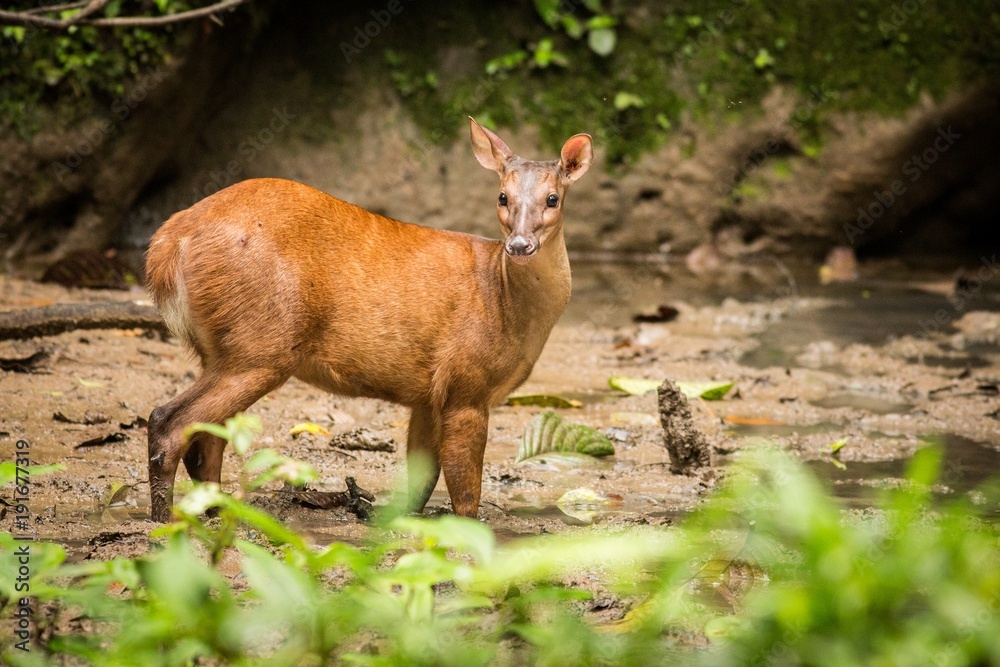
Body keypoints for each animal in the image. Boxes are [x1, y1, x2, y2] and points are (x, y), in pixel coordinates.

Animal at [144, 118, 593, 522]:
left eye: (553, 199)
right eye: (502, 196)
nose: (519, 245)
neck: (502, 298)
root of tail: (168, 241)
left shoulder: (428, 394)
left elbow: (420, 481)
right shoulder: (467, 383)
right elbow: (466, 492)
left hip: (222, 346)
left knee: (207, 439)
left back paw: (216, 514)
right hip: (261, 343)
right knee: (169, 421)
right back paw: (165, 520)